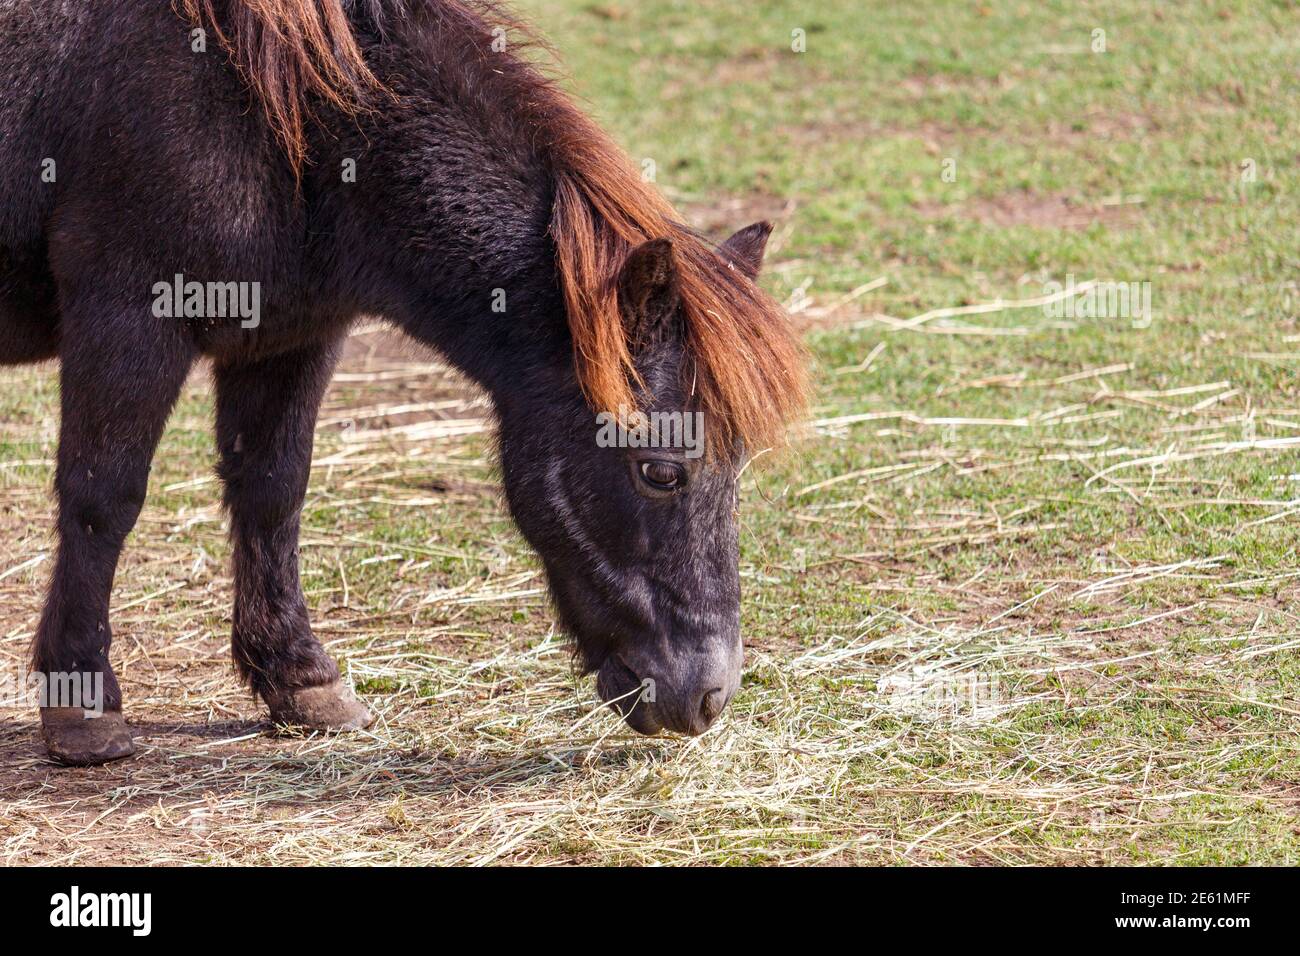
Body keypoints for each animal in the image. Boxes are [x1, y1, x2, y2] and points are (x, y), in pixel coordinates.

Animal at [0, 0, 806, 765]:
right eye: (660, 471)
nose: (707, 696)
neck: (279, 118)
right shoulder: (129, 316)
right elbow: (104, 499)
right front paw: (83, 706)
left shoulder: (291, 337)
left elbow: (273, 491)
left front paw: (301, 678)